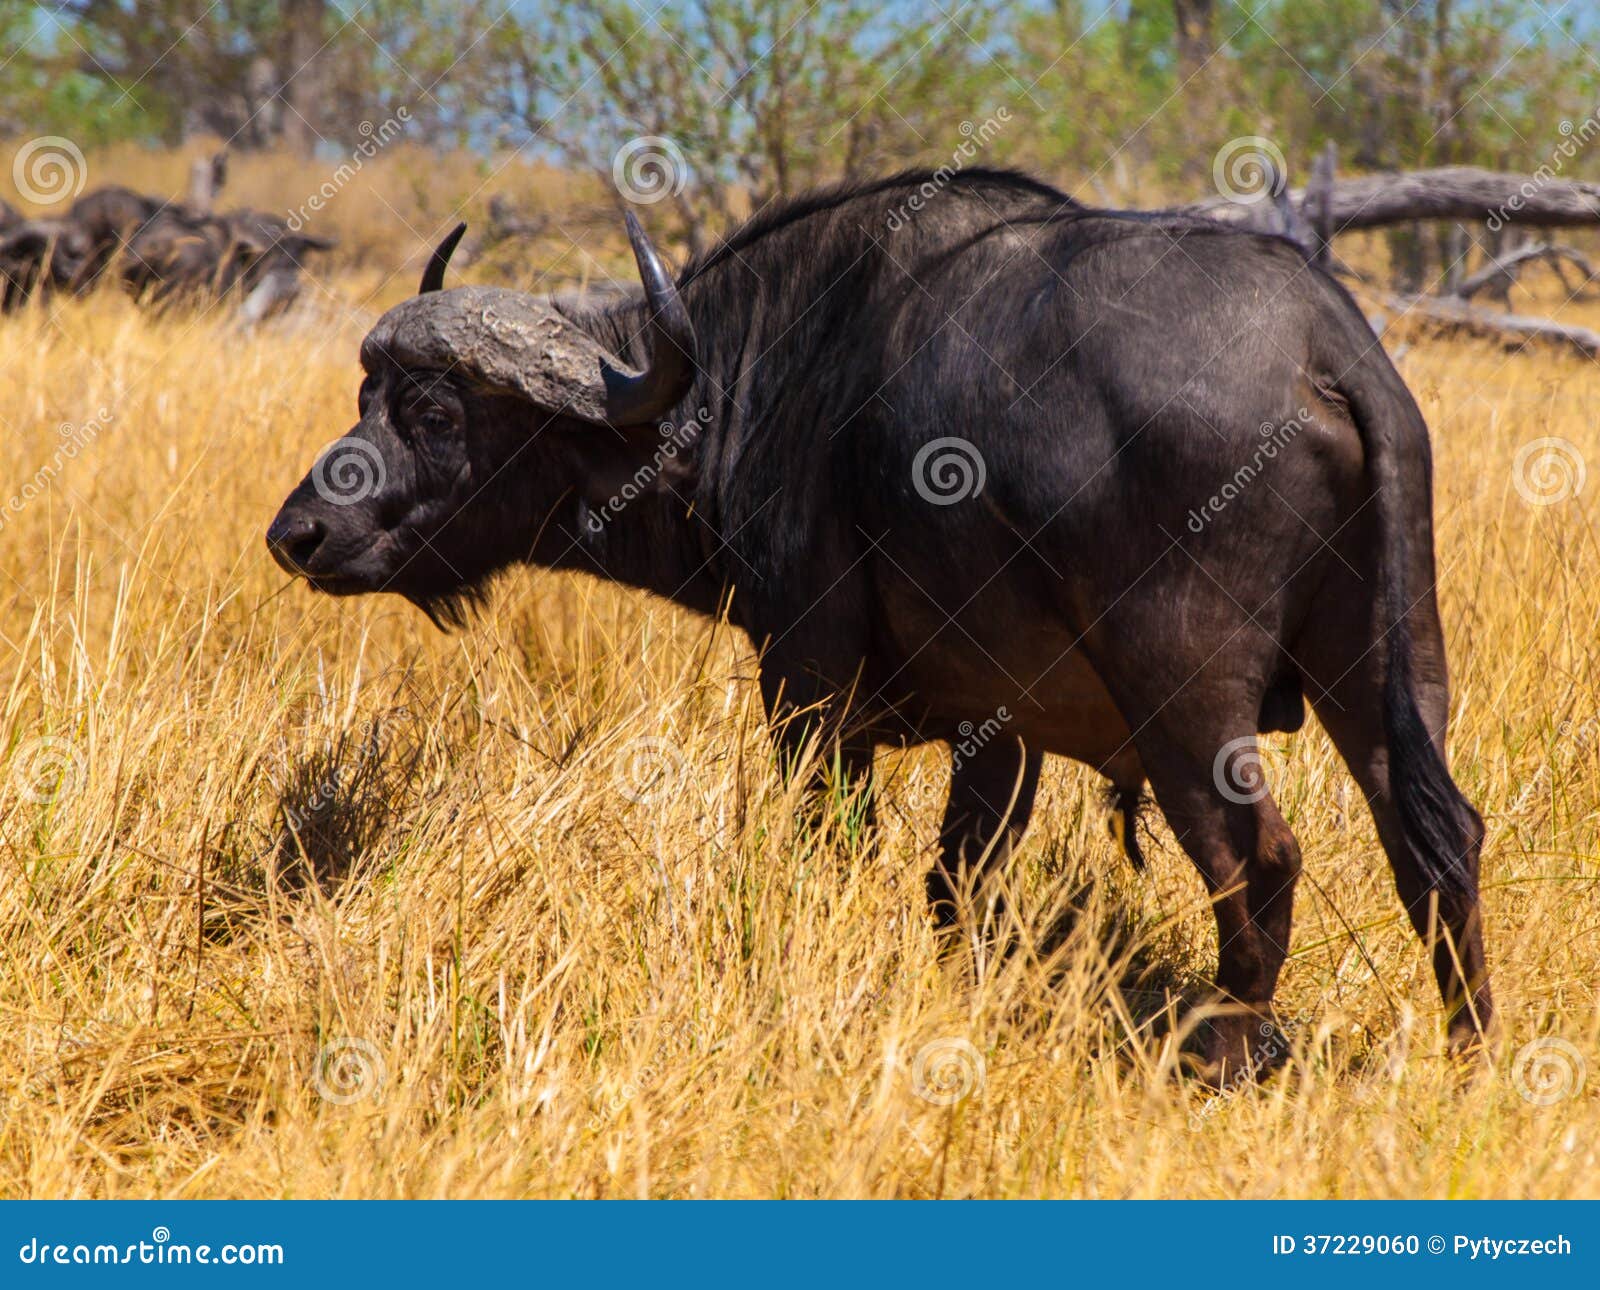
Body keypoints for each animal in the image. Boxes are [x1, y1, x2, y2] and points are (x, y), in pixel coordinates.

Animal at [266, 168, 1491, 1080]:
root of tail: (1325, 346)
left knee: (1258, 860)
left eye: (434, 412)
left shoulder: (805, 677)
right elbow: (957, 884)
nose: (299, 534)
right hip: (1388, 673)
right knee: (1436, 842)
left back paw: (1223, 1052)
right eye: (365, 398)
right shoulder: (1001, 732)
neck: (756, 377)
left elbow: (828, 838)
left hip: (1188, 701)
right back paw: (1469, 1051)